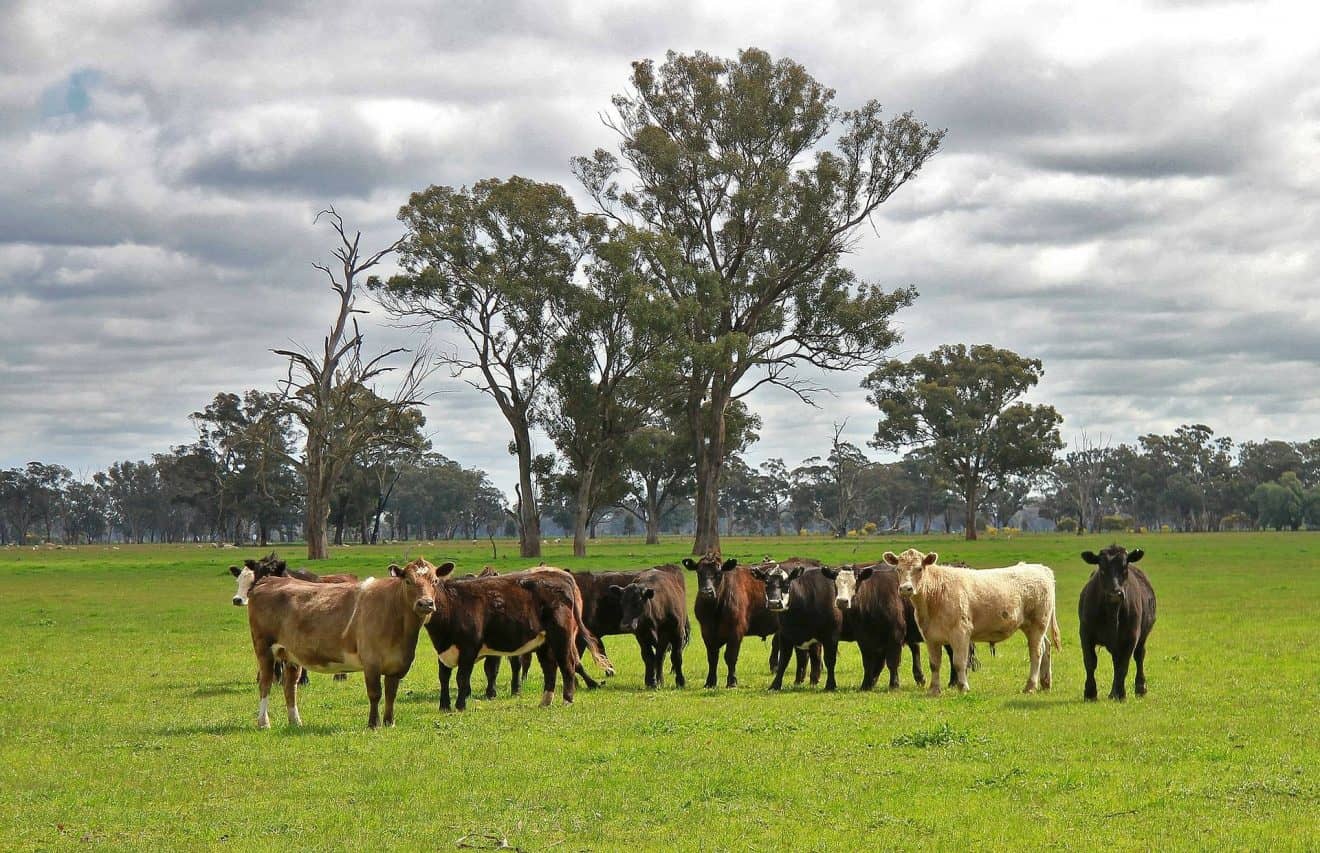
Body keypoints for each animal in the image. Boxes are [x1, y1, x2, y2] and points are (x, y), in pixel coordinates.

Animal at [245, 558, 441, 728]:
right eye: (408, 581)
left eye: (435, 581)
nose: (426, 603)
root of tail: (268, 580)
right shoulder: (371, 661)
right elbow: (375, 693)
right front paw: (373, 724)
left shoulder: (397, 664)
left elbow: (391, 694)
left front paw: (389, 722)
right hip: (263, 647)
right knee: (265, 683)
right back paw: (264, 722)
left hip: (291, 654)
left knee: (290, 686)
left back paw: (295, 721)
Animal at [423, 564, 612, 711]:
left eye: (434, 581)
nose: (425, 603)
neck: (454, 604)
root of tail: (562, 576)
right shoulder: (442, 650)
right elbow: (444, 677)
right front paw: (444, 706)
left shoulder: (470, 648)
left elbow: (463, 677)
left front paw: (461, 705)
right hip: (545, 642)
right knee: (550, 667)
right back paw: (545, 701)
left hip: (562, 637)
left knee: (568, 664)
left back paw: (567, 699)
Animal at [684, 552, 820, 689]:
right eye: (699, 572)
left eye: (718, 573)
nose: (706, 592)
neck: (715, 610)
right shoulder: (707, 632)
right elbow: (712, 658)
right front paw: (710, 682)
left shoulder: (736, 631)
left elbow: (730, 656)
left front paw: (732, 681)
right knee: (802, 654)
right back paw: (798, 680)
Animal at [886, 549, 1060, 695]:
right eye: (898, 569)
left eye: (919, 569)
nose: (905, 588)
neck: (935, 595)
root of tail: (1040, 568)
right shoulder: (931, 637)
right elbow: (934, 664)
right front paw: (934, 690)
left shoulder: (960, 633)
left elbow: (959, 662)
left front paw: (963, 687)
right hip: (1033, 626)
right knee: (1047, 647)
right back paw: (1046, 683)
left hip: (1037, 624)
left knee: (1036, 652)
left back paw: (1030, 686)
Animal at [1079, 545, 1157, 701]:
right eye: (1102, 568)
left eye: (1124, 568)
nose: (1115, 593)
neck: (1112, 613)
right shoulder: (1085, 633)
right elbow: (1090, 662)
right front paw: (1090, 693)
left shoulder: (1131, 637)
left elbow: (1124, 665)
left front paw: (1120, 694)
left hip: (1142, 637)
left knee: (1139, 656)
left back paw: (1139, 688)